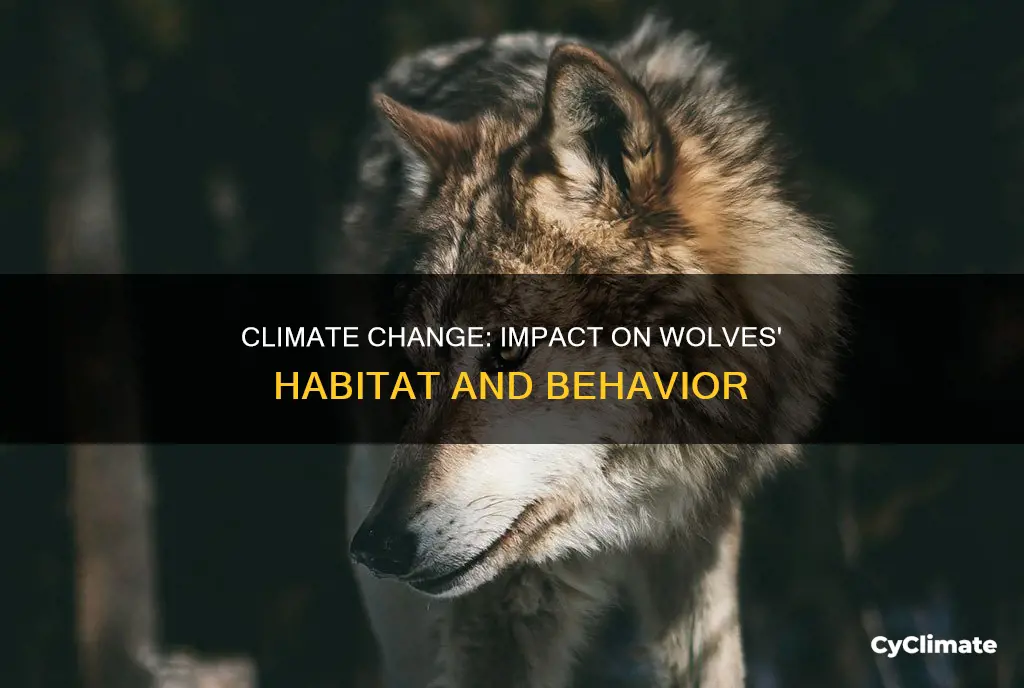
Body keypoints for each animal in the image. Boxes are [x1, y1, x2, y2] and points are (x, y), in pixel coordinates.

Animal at [339, 13, 847, 688]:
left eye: (508, 353)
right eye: (419, 364)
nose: (375, 546)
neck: (622, 513)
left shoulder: (698, 541)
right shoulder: (502, 606)